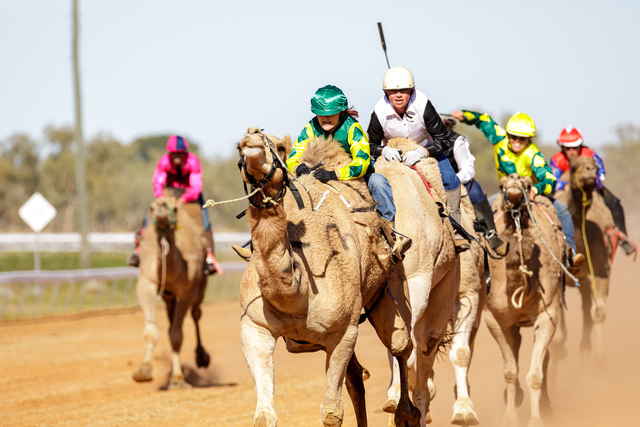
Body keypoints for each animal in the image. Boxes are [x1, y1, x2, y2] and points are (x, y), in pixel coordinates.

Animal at [131, 187, 210, 389]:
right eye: (151, 207)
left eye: (174, 209)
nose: (160, 208)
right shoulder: (146, 283)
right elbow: (151, 332)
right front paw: (143, 371)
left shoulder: (187, 291)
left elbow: (177, 335)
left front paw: (178, 379)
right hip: (168, 296)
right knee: (171, 317)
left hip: (200, 286)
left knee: (196, 313)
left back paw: (202, 357)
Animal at [236, 127, 420, 427]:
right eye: (238, 148)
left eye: (279, 147)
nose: (251, 136)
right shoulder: (254, 328)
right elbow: (264, 416)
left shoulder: (343, 332)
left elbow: (332, 413)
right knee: (356, 377)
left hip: (391, 286)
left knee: (401, 347)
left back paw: (406, 414)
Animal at [484, 174, 565, 427]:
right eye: (502, 186)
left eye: (527, 184)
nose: (514, 186)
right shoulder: (495, 319)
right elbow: (510, 371)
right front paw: (510, 416)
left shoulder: (548, 314)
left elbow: (536, 374)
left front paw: (536, 419)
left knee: (544, 359)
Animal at [552, 155, 617, 362]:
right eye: (574, 167)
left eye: (596, 165)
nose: (591, 171)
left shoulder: (601, 270)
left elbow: (598, 312)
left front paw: (599, 358)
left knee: (587, 309)